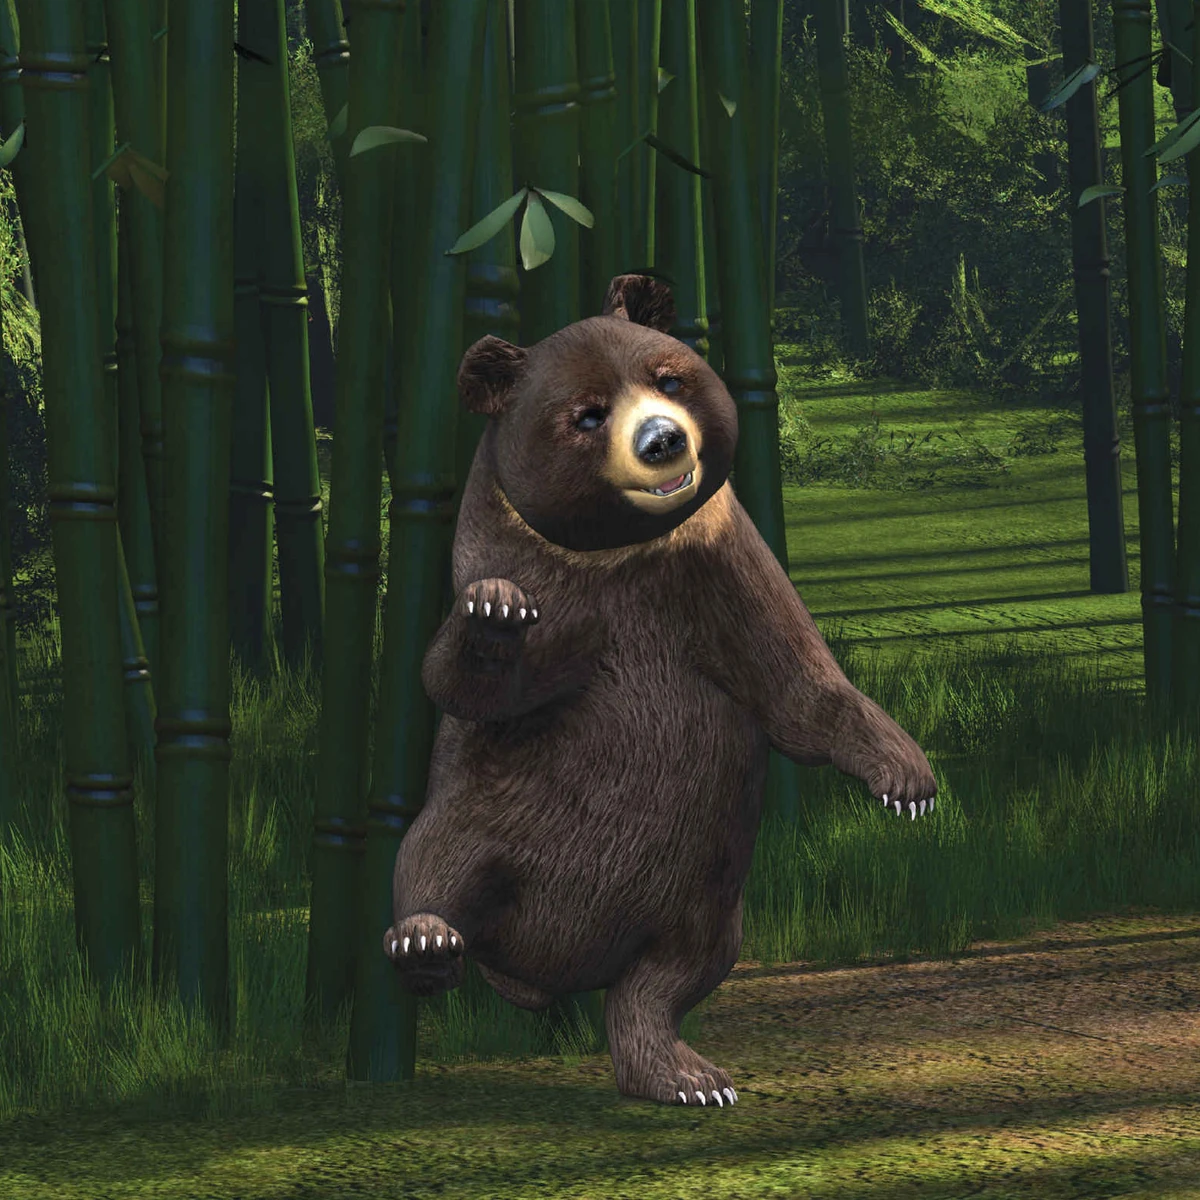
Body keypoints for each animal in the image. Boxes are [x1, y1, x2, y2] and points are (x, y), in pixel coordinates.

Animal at [383, 273, 937, 1108]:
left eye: (669, 378)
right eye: (586, 414)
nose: (662, 440)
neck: (621, 552)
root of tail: (541, 973)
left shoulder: (716, 562)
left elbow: (797, 686)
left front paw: (907, 783)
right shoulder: (538, 576)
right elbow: (467, 686)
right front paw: (495, 611)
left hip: (705, 892)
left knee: (671, 976)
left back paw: (684, 1074)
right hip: (487, 817)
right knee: (433, 861)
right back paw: (425, 941)